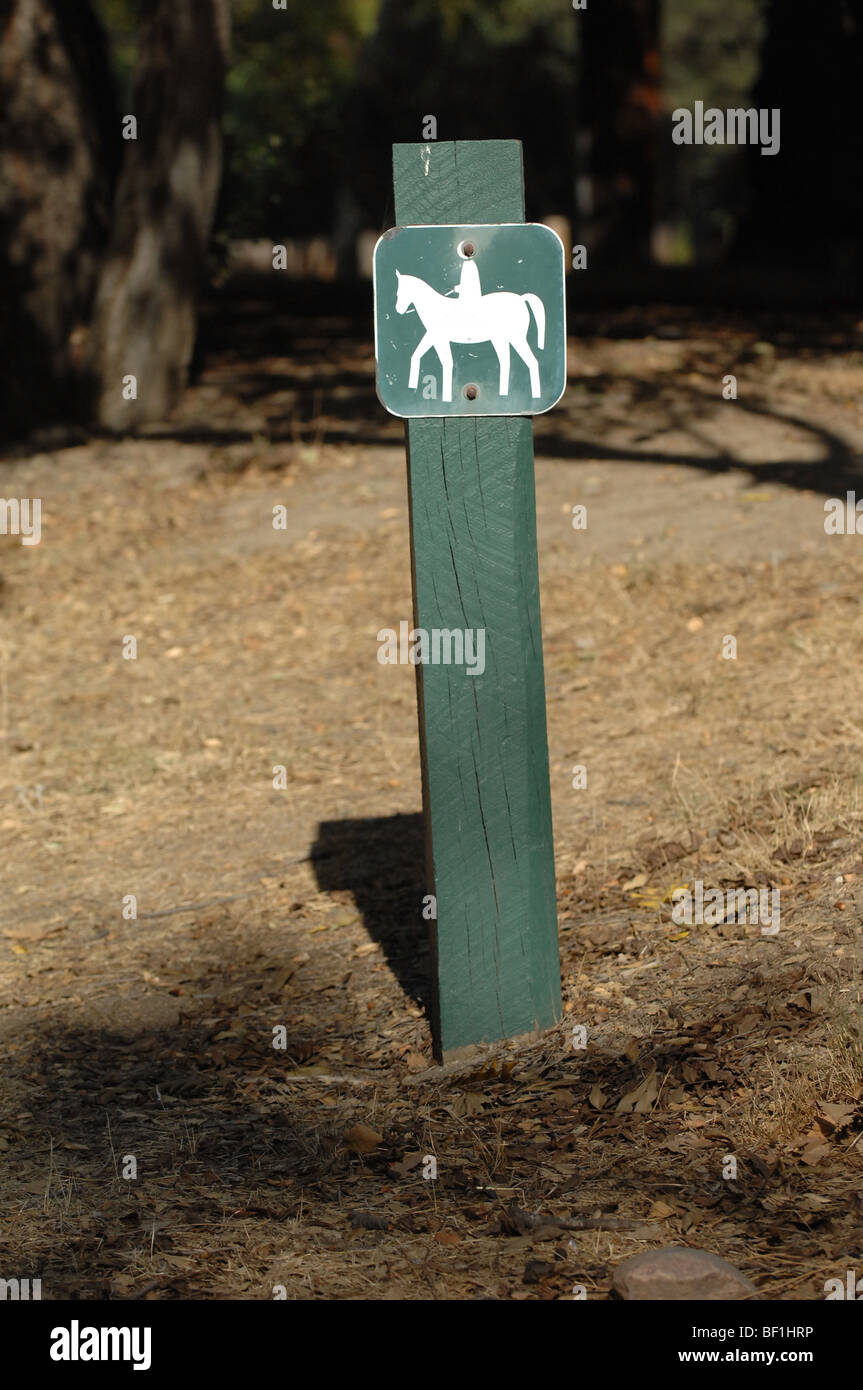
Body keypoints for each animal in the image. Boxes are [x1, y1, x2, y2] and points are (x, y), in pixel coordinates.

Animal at [394, 270, 545, 403]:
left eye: (400, 292)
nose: (398, 310)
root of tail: (521, 298)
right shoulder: (431, 337)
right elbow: (416, 355)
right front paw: (412, 385)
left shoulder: (439, 339)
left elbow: (447, 362)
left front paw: (446, 397)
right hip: (500, 340)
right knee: (506, 362)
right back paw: (504, 394)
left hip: (516, 339)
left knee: (531, 362)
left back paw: (535, 394)